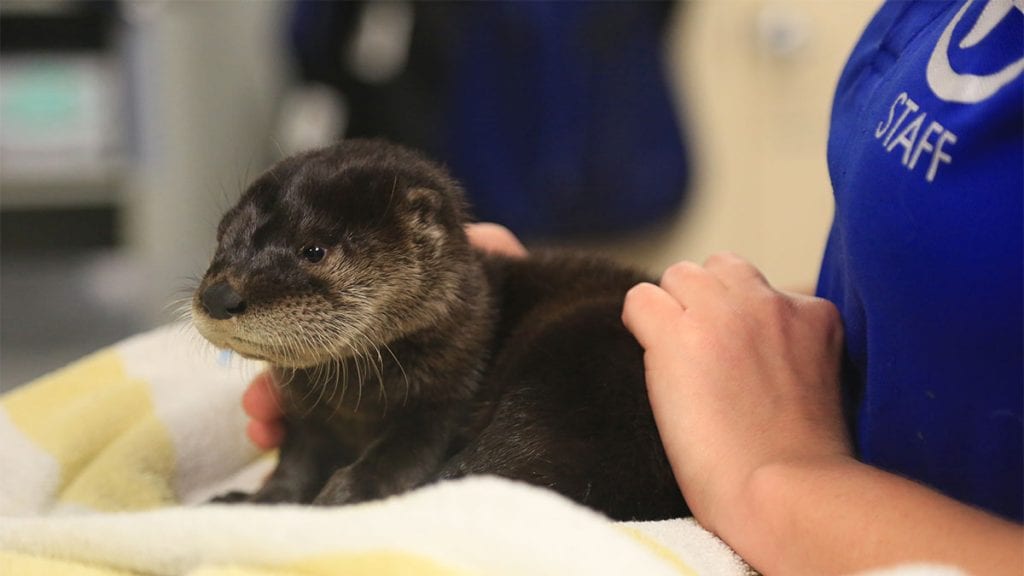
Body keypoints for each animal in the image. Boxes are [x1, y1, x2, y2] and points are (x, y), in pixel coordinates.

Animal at [192, 139, 688, 521]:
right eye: (221, 240)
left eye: (313, 250)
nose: (219, 295)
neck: (357, 403)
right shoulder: (306, 416)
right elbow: (293, 467)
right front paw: (254, 502)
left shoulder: (445, 400)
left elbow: (401, 456)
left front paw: (343, 495)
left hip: (571, 367)